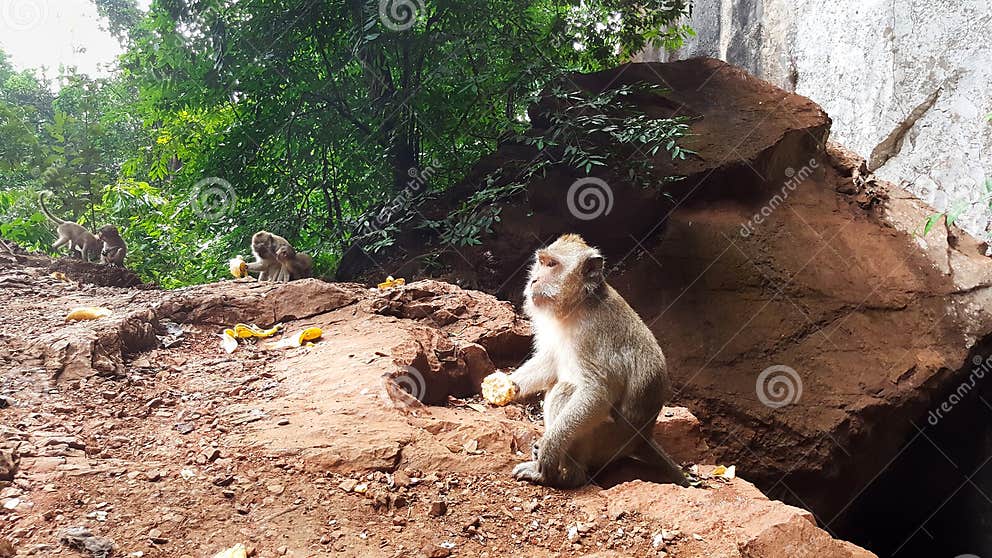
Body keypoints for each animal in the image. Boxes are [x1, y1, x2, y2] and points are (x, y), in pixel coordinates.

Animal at [504, 233, 688, 488]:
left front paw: (549, 450)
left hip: (606, 440)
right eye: (541, 262)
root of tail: (643, 437)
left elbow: (597, 392)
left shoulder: (593, 334)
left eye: (552, 265)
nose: (534, 280)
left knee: (565, 390)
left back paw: (564, 475)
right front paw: (506, 384)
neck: (578, 305)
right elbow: (550, 363)